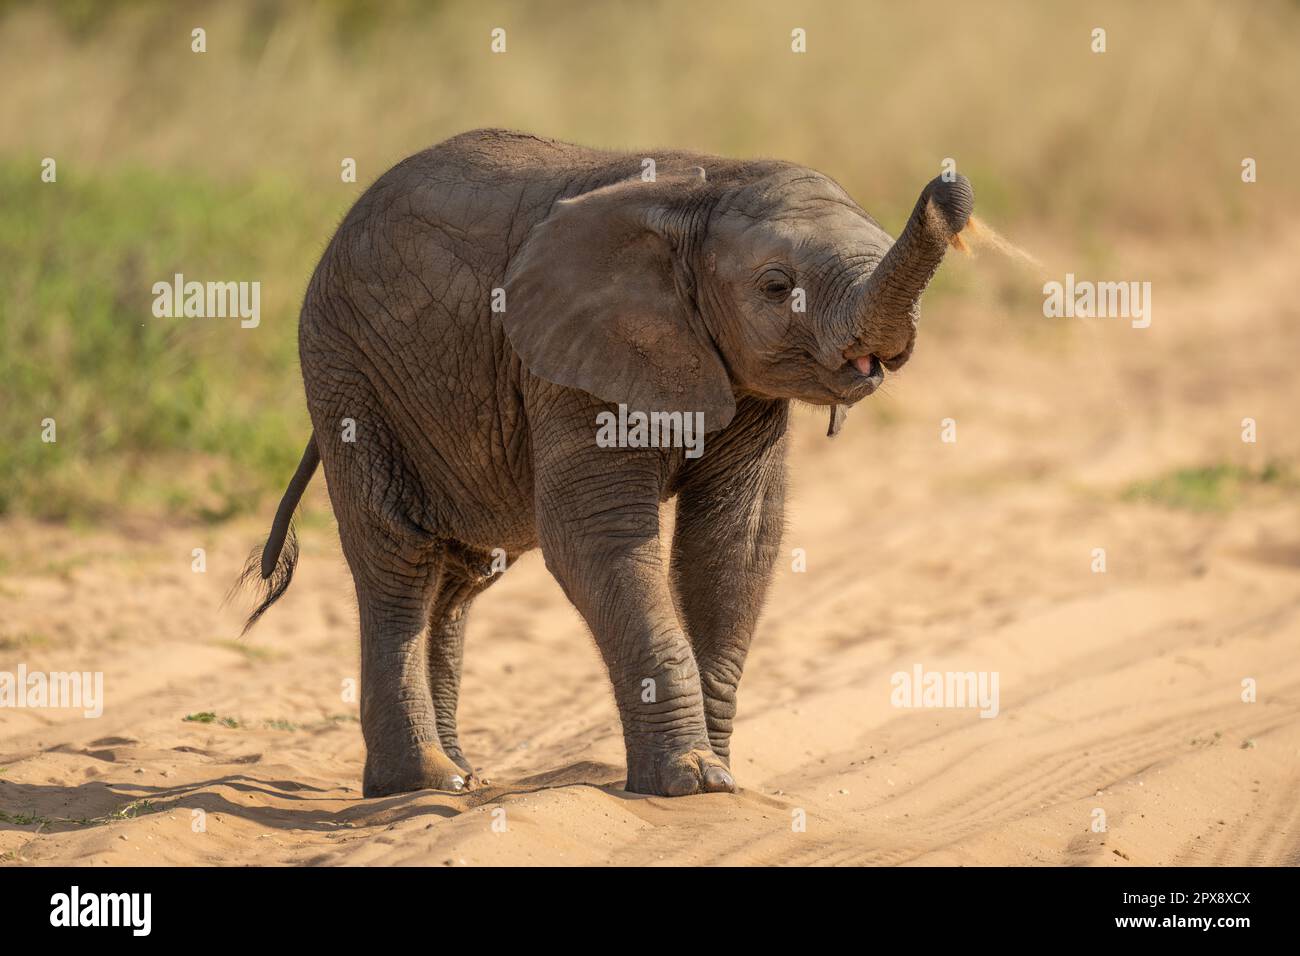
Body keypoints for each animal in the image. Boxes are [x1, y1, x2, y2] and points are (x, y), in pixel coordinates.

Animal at [237, 128, 973, 798]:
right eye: (775, 286)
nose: (948, 187)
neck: (707, 188)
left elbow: (733, 543)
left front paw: (718, 774)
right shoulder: (566, 357)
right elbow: (599, 538)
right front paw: (691, 781)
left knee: (460, 576)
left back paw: (462, 775)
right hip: (349, 372)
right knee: (401, 558)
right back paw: (422, 781)